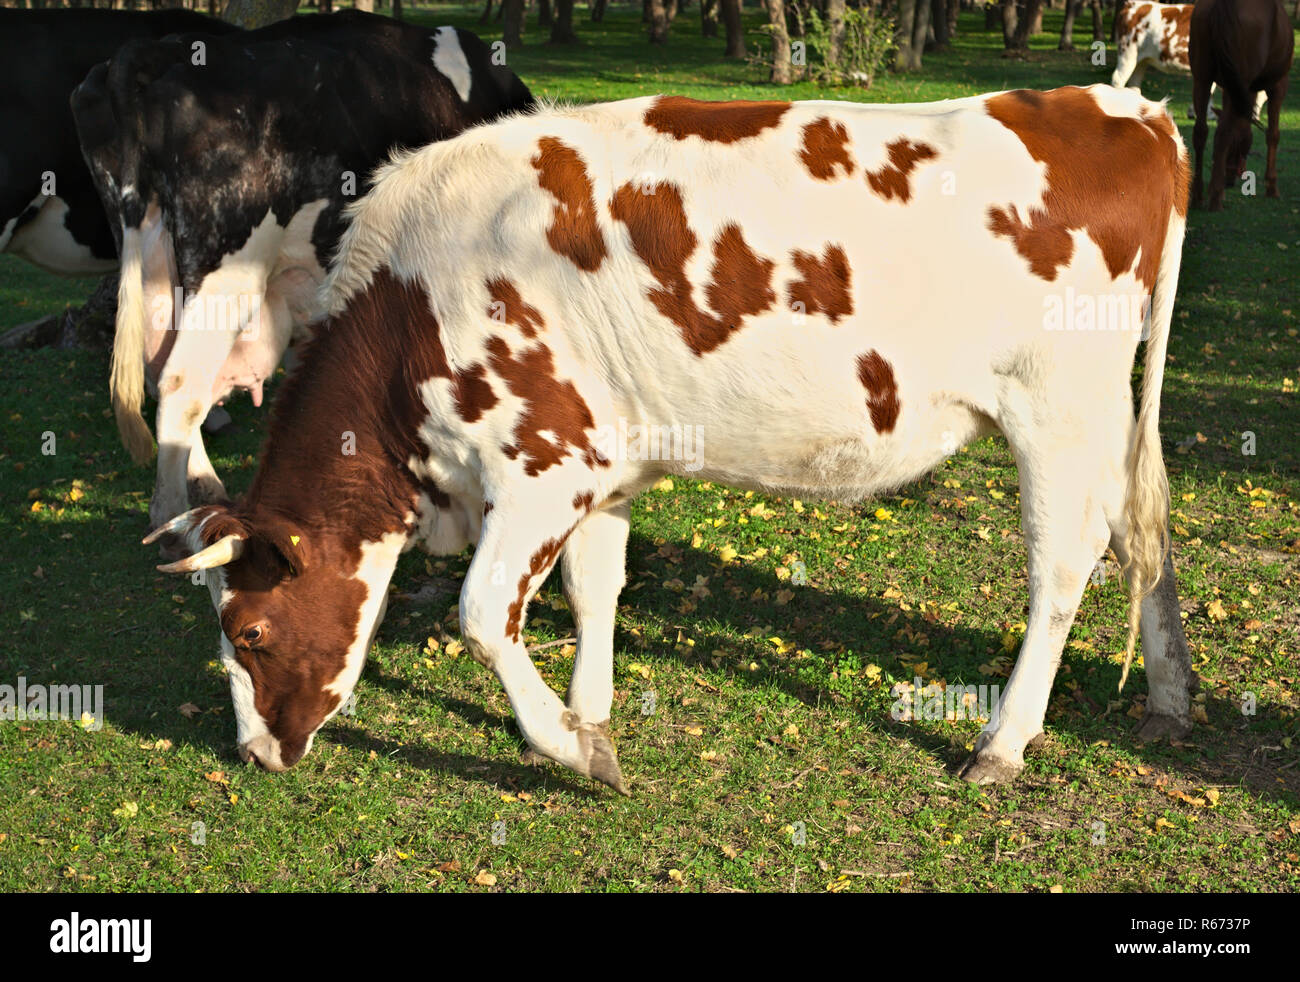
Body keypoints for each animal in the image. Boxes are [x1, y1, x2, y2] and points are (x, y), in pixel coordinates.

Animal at [71, 10, 533, 540]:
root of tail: (154, 51)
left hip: (150, 261)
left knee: (159, 365)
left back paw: (205, 488)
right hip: (226, 268)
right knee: (181, 381)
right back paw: (169, 516)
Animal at [147, 86, 1196, 792]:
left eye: (248, 631)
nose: (255, 753)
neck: (418, 294)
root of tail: (1121, 106)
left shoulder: (544, 461)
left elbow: (485, 617)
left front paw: (572, 746)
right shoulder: (602, 467)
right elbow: (595, 585)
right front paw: (591, 709)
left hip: (1056, 408)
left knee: (1065, 561)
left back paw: (1004, 740)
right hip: (1102, 414)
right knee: (1143, 532)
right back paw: (1171, 694)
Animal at [1110, 1, 1268, 119]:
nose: (1255, 118)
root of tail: (1134, 4)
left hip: (1142, 60)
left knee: (1134, 83)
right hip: (1128, 53)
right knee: (1118, 78)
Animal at [1190, 0, 1294, 210]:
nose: (1230, 180)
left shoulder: (1229, 88)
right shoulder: (1278, 86)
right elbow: (1273, 134)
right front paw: (1272, 187)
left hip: (1201, 79)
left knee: (1201, 131)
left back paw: (1198, 195)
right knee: (1223, 134)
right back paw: (1215, 197)